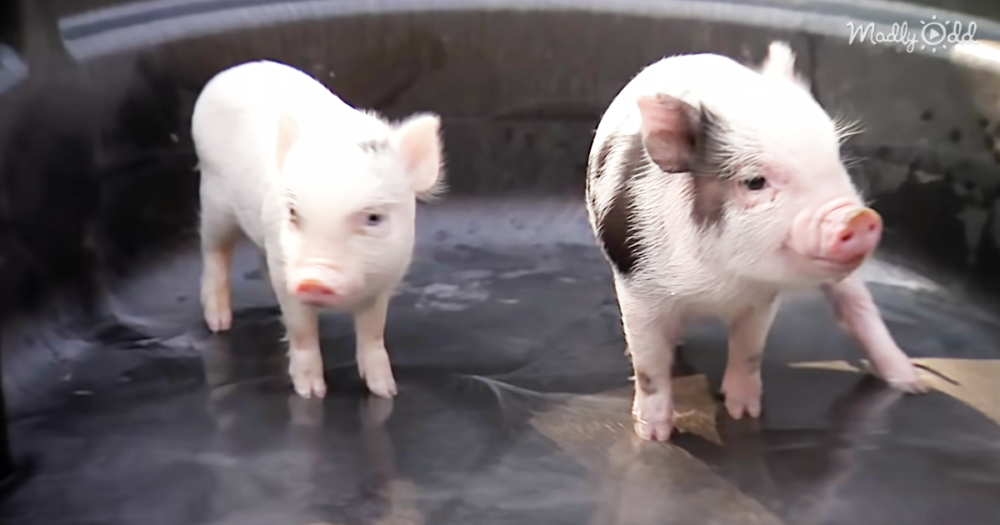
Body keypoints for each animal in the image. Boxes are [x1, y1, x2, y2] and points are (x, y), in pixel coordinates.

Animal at [191, 60, 444, 399]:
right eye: (294, 213)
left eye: (374, 218)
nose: (313, 279)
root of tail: (226, 75)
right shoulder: (287, 278)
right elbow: (302, 331)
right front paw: (311, 394)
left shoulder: (383, 282)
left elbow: (373, 332)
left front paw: (386, 391)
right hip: (214, 199)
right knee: (215, 252)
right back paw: (219, 323)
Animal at [584, 42, 929, 442]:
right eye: (754, 182)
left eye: (836, 160)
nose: (857, 218)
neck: (715, 288)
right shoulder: (636, 286)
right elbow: (650, 364)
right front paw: (653, 435)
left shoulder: (762, 297)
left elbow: (749, 350)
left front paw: (745, 414)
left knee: (856, 307)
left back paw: (913, 384)